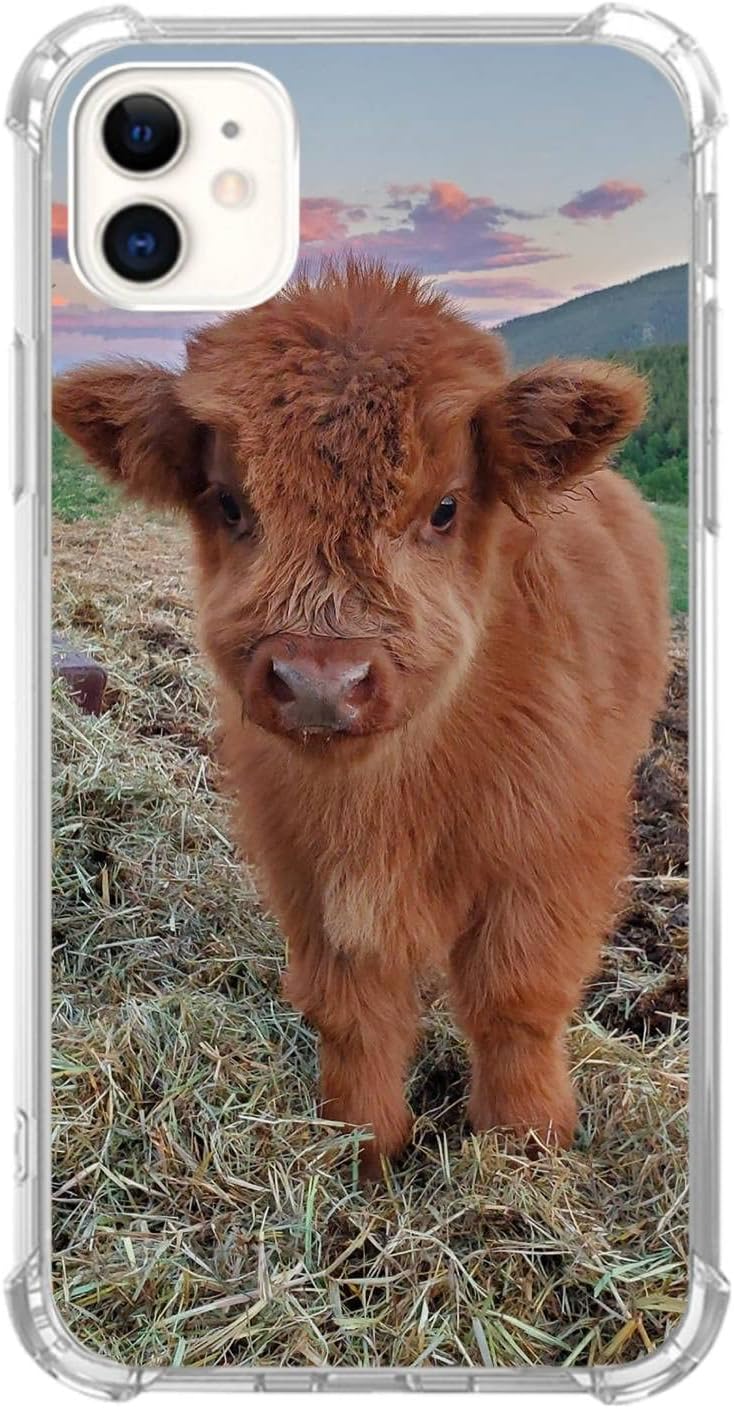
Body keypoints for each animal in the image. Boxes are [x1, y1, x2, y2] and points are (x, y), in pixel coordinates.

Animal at [53, 261, 669, 1179]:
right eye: (229, 503)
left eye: (445, 508)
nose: (320, 682)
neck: (391, 797)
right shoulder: (305, 863)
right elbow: (351, 1006)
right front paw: (362, 1145)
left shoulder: (551, 852)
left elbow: (516, 995)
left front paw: (525, 1144)